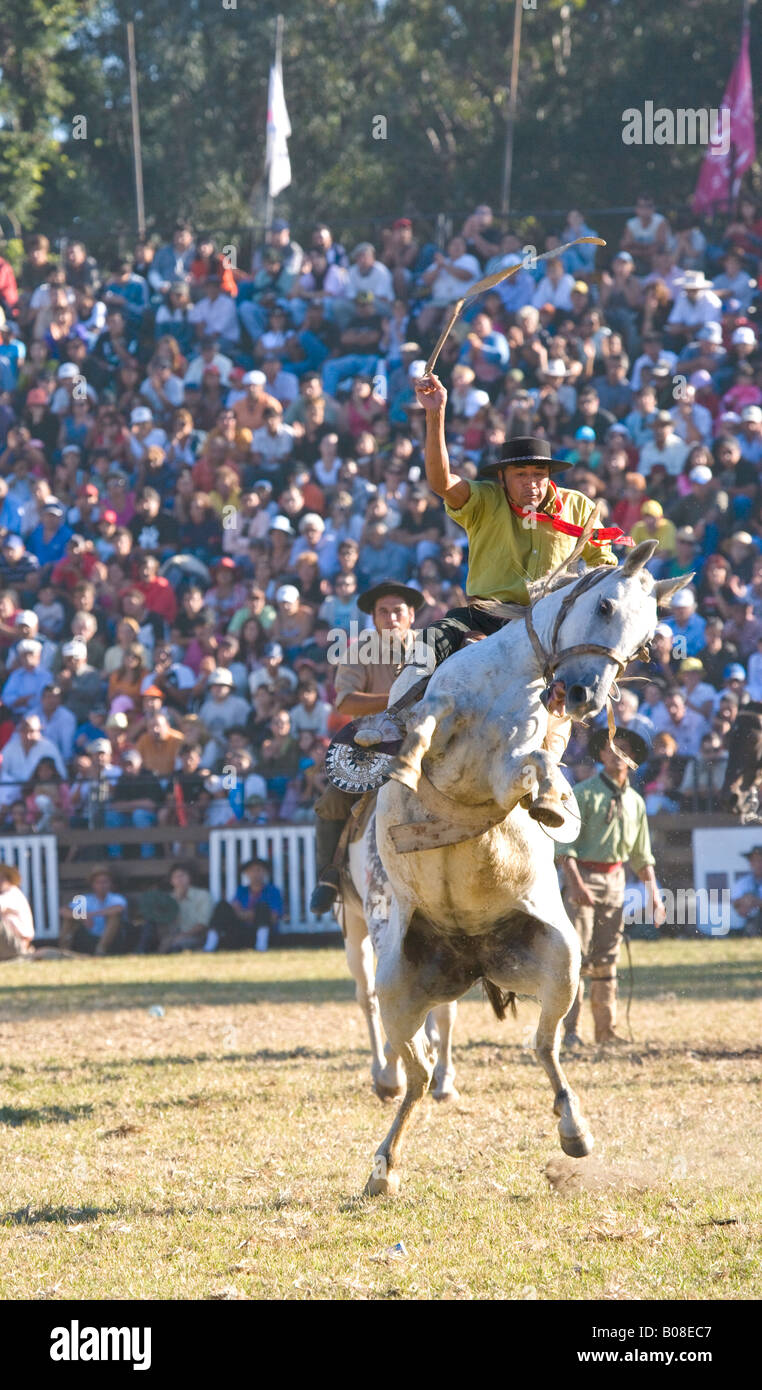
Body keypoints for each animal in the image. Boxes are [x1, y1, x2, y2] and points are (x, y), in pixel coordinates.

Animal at [354, 540, 684, 1196]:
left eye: (645, 641)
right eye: (605, 605)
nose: (583, 696)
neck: (510, 680)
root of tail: (473, 956)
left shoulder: (506, 768)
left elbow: (531, 764)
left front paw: (553, 803)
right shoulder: (442, 706)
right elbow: (422, 726)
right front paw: (399, 759)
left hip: (561, 963)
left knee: (543, 1046)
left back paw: (575, 1132)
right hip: (397, 985)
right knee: (416, 1073)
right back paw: (382, 1167)